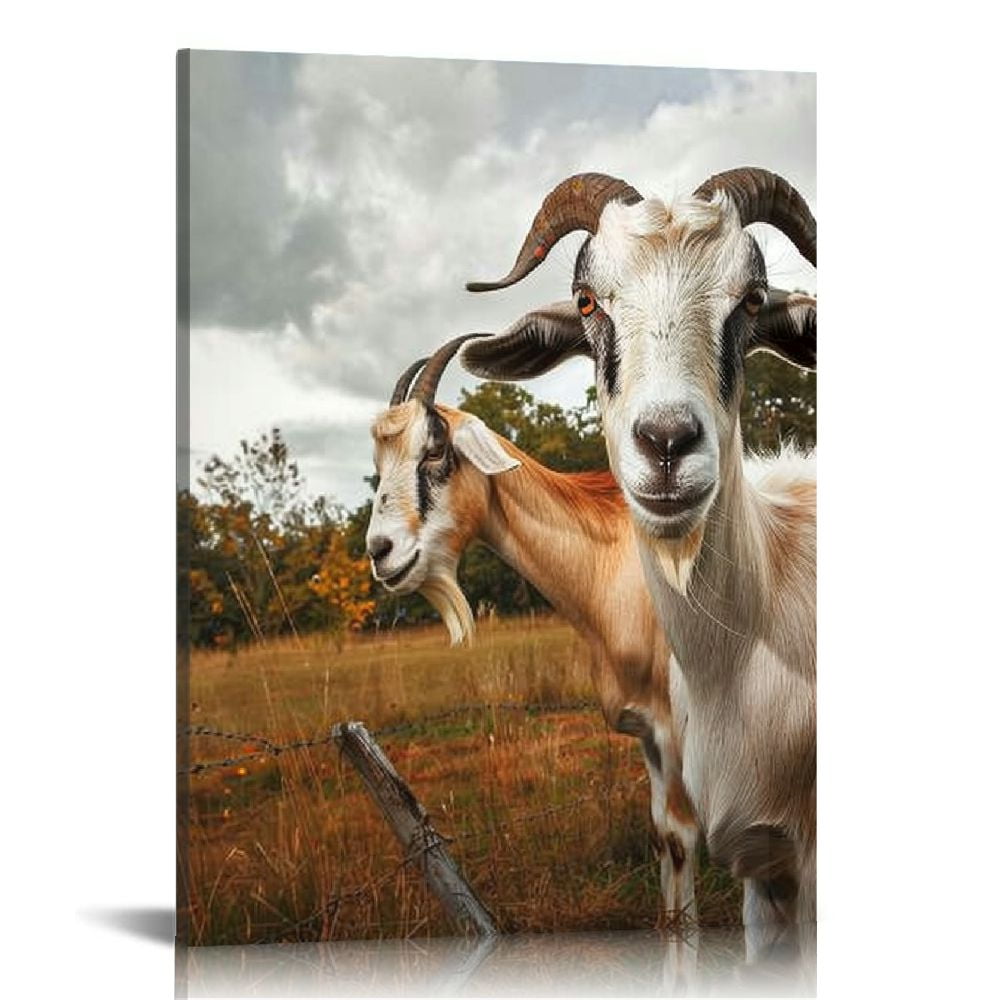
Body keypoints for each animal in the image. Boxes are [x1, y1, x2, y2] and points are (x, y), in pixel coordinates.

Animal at [364, 337, 701, 925]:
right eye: (379, 461)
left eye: (434, 450)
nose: (381, 551)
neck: (616, 564)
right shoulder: (649, 736)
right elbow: (663, 840)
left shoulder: (680, 734)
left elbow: (682, 841)